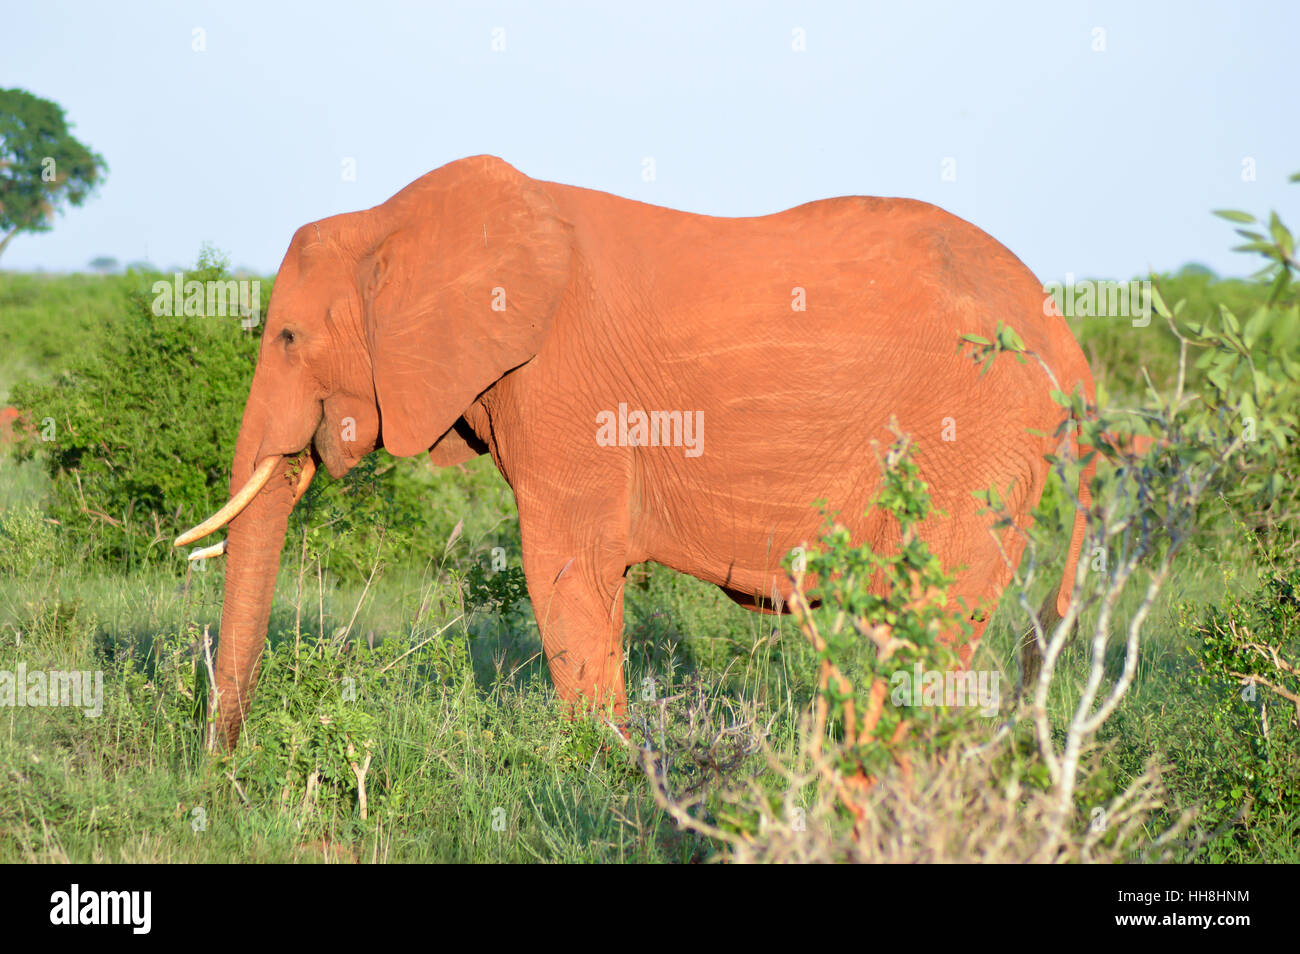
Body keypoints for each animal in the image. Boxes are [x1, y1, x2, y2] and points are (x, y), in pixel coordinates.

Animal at [176, 155, 1095, 749]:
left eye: (288, 337)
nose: (219, 763)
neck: (389, 220)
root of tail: (1062, 330)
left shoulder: (562, 387)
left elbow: (566, 563)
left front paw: (599, 768)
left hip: (973, 442)